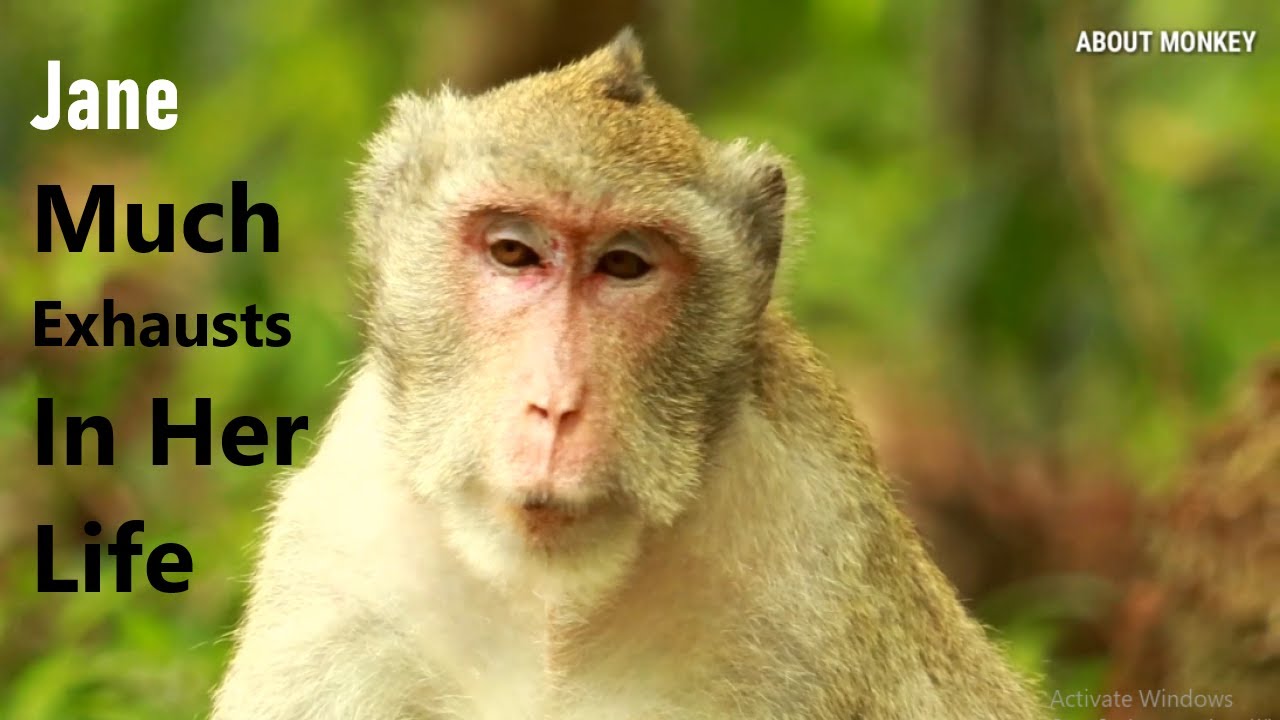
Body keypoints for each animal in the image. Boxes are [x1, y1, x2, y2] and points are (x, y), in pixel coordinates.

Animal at [211, 29, 1046, 720]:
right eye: (513, 252)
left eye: (625, 265)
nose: (554, 406)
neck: (549, 600)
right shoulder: (340, 560)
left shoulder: (810, 582)